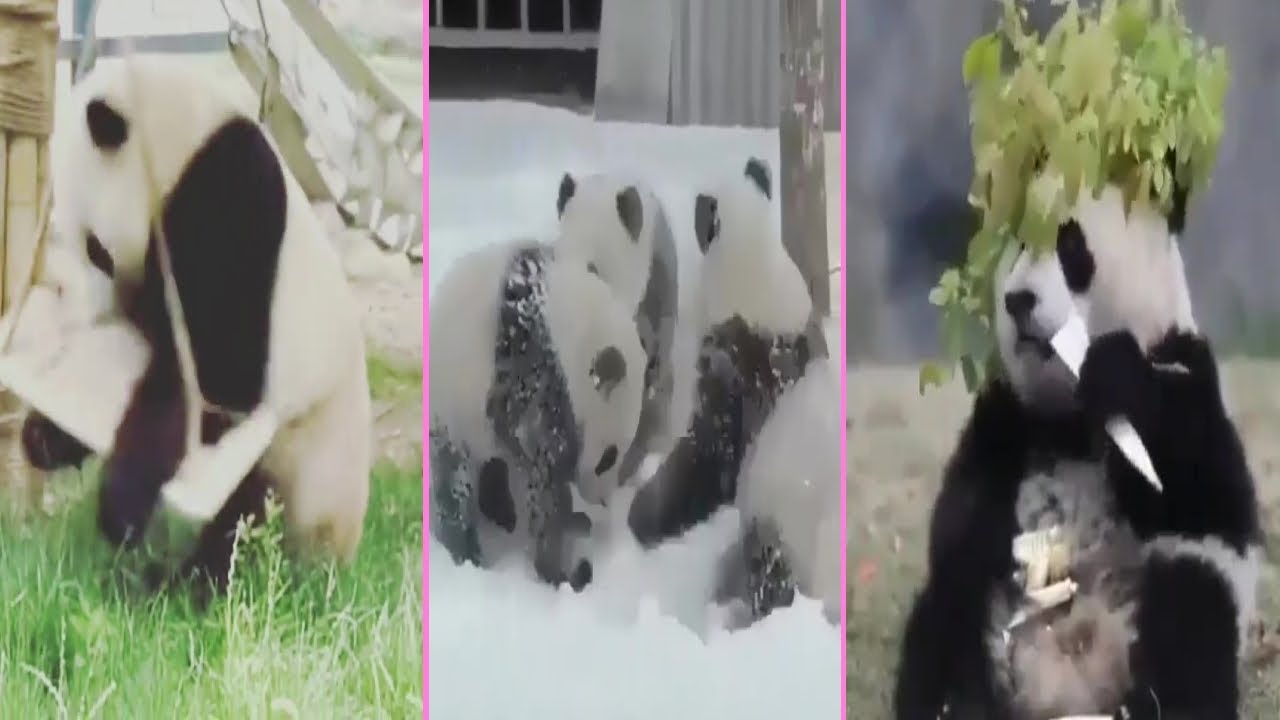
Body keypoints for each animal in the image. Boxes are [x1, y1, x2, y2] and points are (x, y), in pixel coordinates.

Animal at [19, 55, 373, 590]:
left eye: (97, 249)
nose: (90, 311)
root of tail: (341, 557)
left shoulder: (230, 197)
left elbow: (213, 375)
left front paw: (121, 505)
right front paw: (45, 435)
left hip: (307, 460)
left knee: (244, 518)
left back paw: (178, 584)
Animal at [428, 238, 646, 590]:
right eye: (608, 457)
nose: (601, 500)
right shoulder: (530, 366)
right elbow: (541, 467)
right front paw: (560, 568)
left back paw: (501, 511)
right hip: (448, 407)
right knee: (454, 484)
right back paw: (467, 551)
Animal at [893, 159, 1262, 720]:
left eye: (1070, 247)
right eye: (1018, 244)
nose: (1018, 300)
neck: (1069, 408)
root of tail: (1070, 698)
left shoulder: (1186, 370)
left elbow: (1212, 499)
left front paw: (1118, 377)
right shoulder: (1007, 414)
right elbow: (961, 517)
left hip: (1151, 611)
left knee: (1192, 610)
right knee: (943, 624)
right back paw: (960, 705)